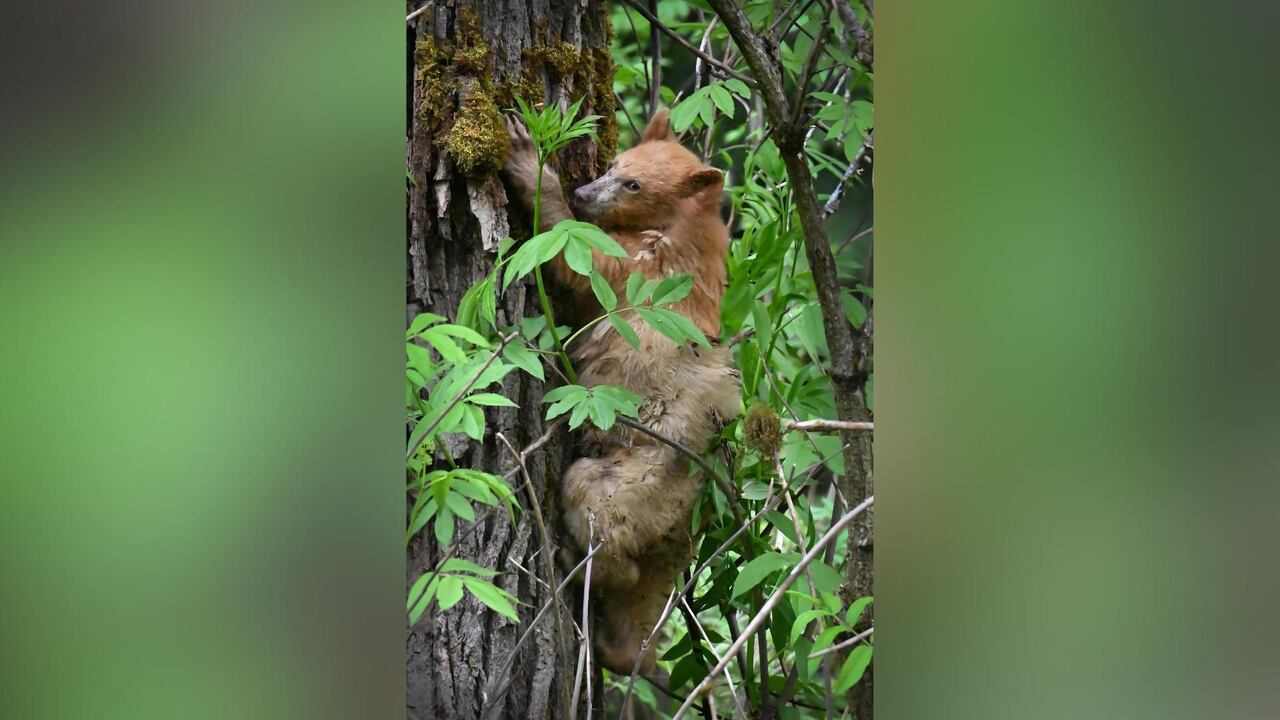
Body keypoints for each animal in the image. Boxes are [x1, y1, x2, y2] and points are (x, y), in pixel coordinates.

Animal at [503, 108, 741, 675]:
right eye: (615, 164)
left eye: (633, 185)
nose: (584, 191)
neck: (680, 232)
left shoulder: (639, 270)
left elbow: (582, 260)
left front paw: (527, 160)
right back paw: (614, 645)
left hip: (630, 486)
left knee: (602, 521)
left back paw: (576, 561)